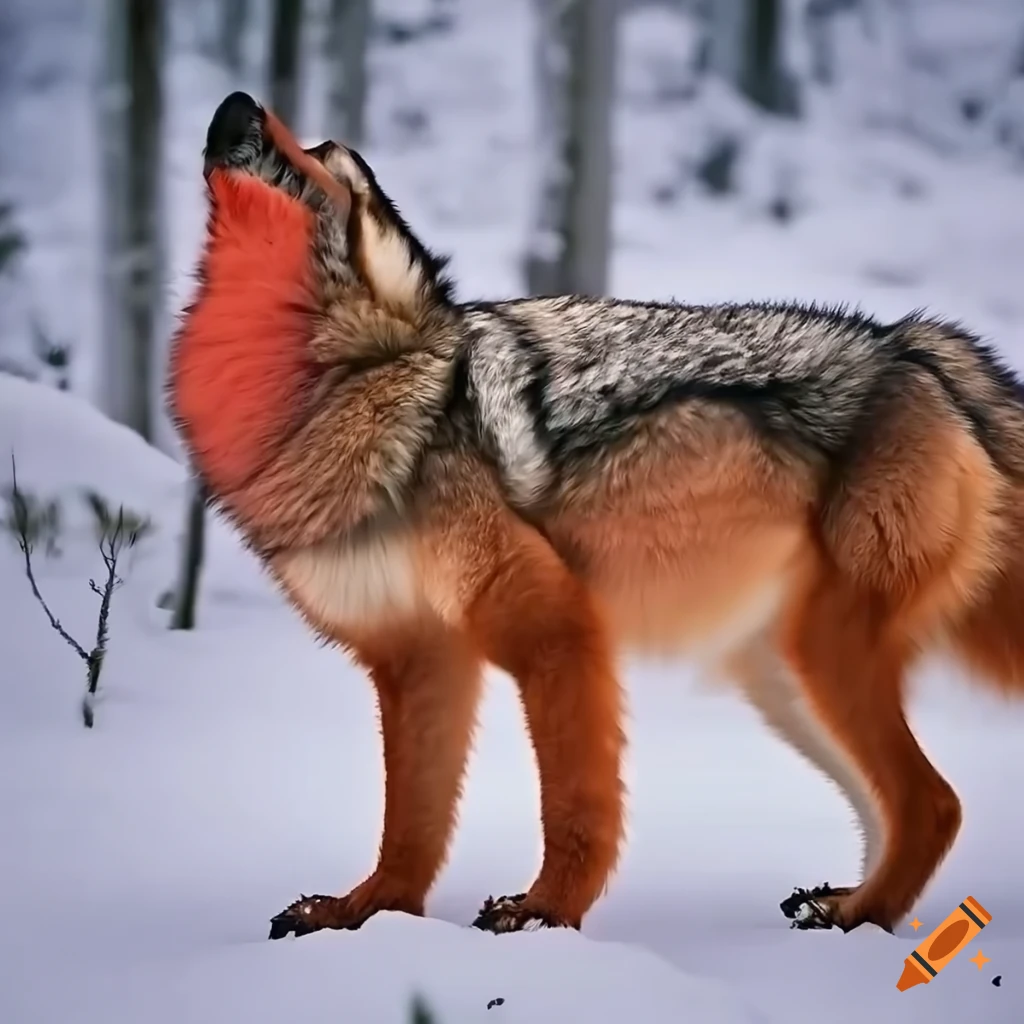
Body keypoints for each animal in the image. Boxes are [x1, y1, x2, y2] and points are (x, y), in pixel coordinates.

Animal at [169, 91, 1024, 940]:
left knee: (934, 804)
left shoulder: (552, 627)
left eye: (316, 158)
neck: (353, 381)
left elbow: (575, 802)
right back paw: (847, 907)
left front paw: (545, 913)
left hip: (819, 659)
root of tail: (917, 345)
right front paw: (368, 916)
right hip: (781, 677)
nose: (235, 102)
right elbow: (409, 828)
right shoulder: (419, 659)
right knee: (911, 809)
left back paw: (857, 917)